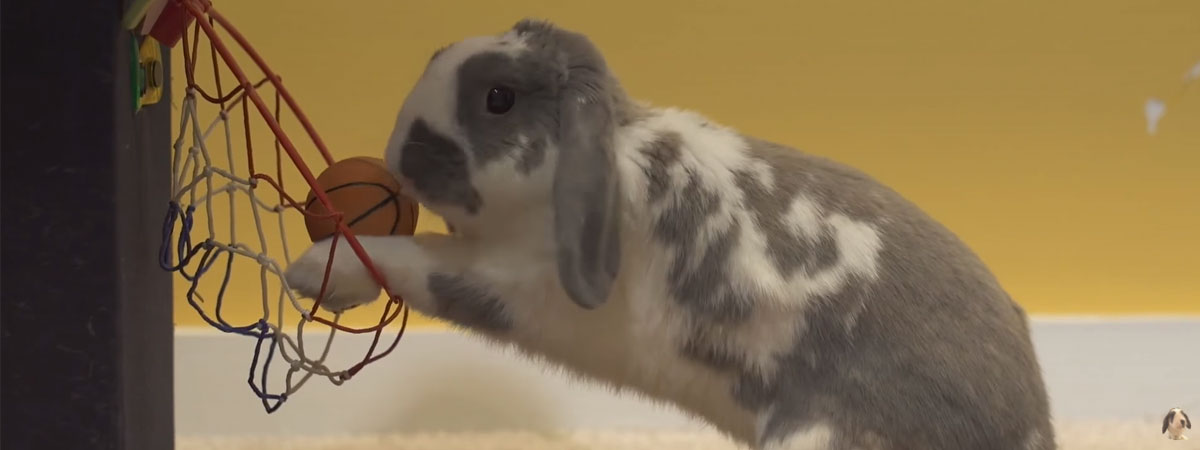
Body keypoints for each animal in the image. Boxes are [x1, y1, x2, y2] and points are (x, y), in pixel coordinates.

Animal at [284, 19, 1056, 450]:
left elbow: (413, 260)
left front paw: (313, 271)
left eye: (499, 99)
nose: (398, 156)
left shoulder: (511, 285)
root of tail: (1026, 424)